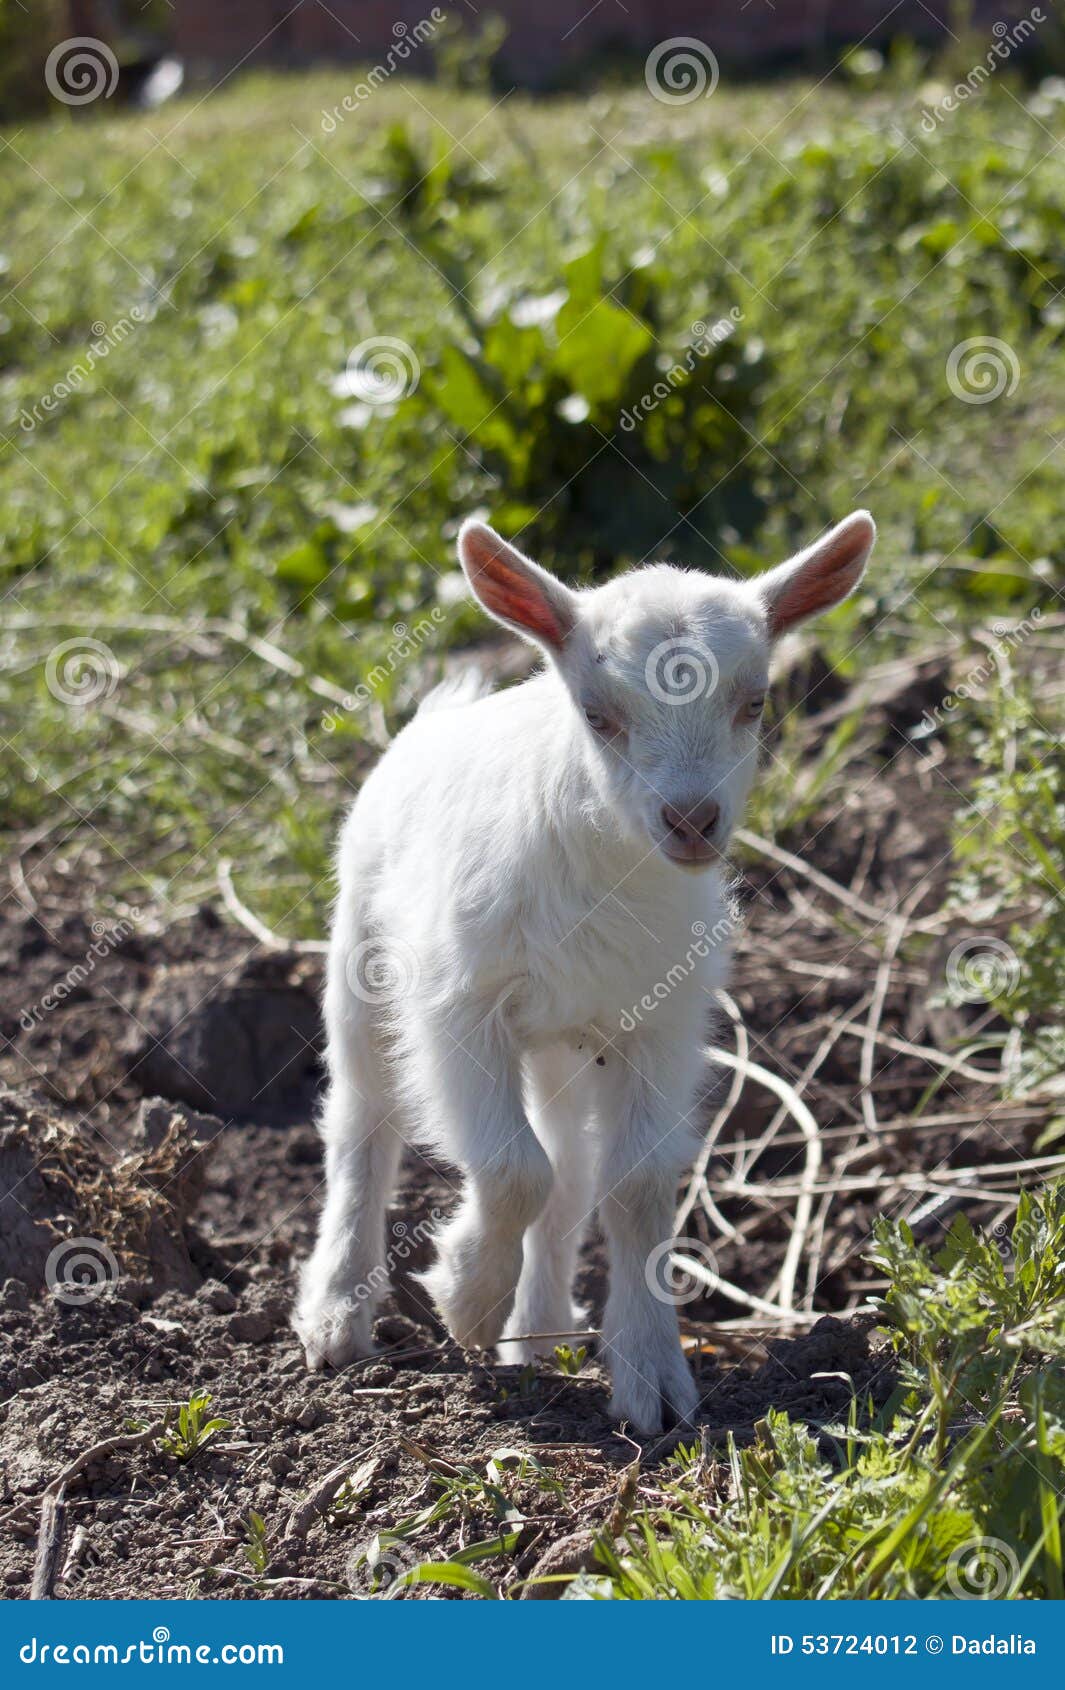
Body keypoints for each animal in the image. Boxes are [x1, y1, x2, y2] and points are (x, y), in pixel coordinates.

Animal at [295, 509, 876, 1432]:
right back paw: (337, 1314)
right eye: (597, 715)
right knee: (362, 1124)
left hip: (565, 1042)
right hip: (361, 959)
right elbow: (509, 1170)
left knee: (567, 1170)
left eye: (753, 703)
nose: (691, 821)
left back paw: (538, 1335)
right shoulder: (459, 1005)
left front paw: (653, 1382)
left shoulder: (660, 1024)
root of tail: (441, 718)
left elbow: (632, 1185)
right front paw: (465, 1299)